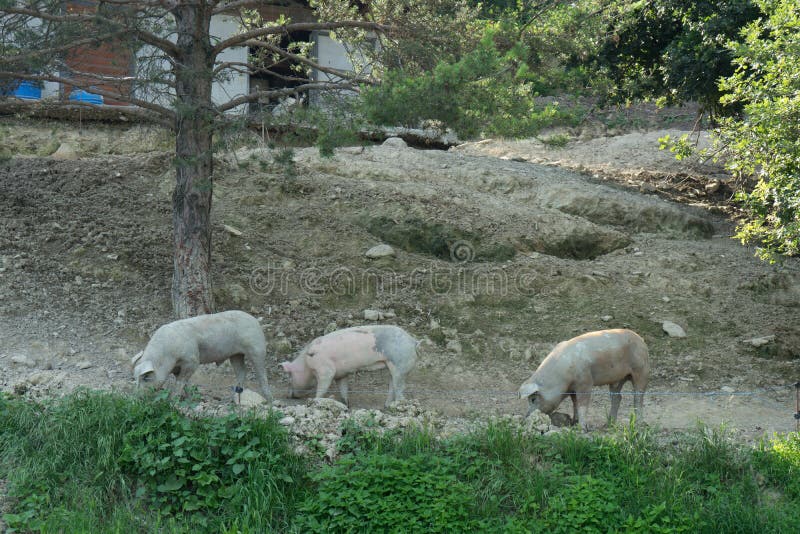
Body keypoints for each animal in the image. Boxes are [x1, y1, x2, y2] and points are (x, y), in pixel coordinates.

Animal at [131, 310, 272, 402]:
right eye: (135, 378)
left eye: (146, 377)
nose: (136, 398)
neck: (166, 356)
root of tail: (256, 320)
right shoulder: (177, 368)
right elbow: (185, 383)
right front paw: (189, 399)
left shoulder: (192, 360)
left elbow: (180, 382)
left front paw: (172, 400)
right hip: (236, 355)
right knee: (242, 371)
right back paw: (235, 398)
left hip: (257, 348)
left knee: (261, 373)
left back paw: (269, 400)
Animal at [280, 325, 417, 407]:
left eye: (290, 377)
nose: (287, 395)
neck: (306, 364)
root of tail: (413, 341)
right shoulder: (341, 374)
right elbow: (343, 389)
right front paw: (346, 405)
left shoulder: (326, 370)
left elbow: (322, 388)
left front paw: (315, 402)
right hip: (392, 368)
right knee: (392, 386)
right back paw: (386, 407)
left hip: (400, 365)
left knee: (399, 388)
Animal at [518, 329, 649, 431]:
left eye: (533, 399)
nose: (526, 417)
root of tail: (641, 339)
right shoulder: (572, 389)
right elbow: (574, 403)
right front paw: (573, 423)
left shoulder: (585, 381)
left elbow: (582, 403)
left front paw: (582, 428)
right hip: (617, 379)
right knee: (617, 398)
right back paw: (608, 425)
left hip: (641, 370)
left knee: (638, 396)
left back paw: (639, 425)